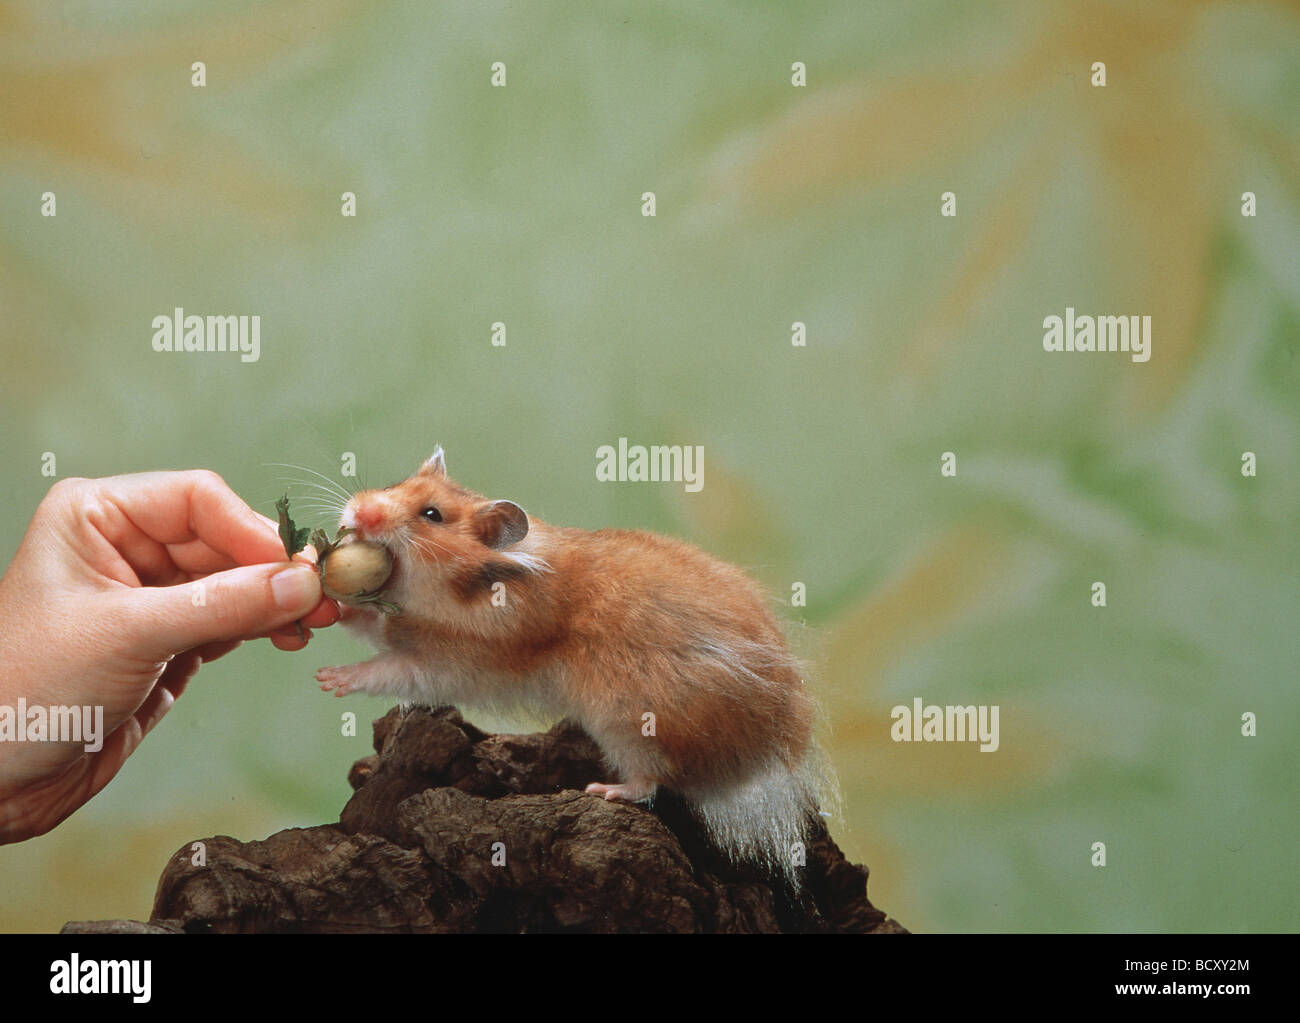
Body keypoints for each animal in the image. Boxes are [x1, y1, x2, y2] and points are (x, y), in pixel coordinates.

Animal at [315, 447, 828, 884]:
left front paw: (329, 680)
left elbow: (389, 668)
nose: (358, 512)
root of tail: (769, 751)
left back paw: (605, 790)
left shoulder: (455, 663)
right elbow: (372, 625)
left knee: (652, 781)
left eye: (431, 516)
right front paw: (327, 599)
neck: (468, 589)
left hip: (631, 726)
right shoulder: (404, 629)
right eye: (393, 483)